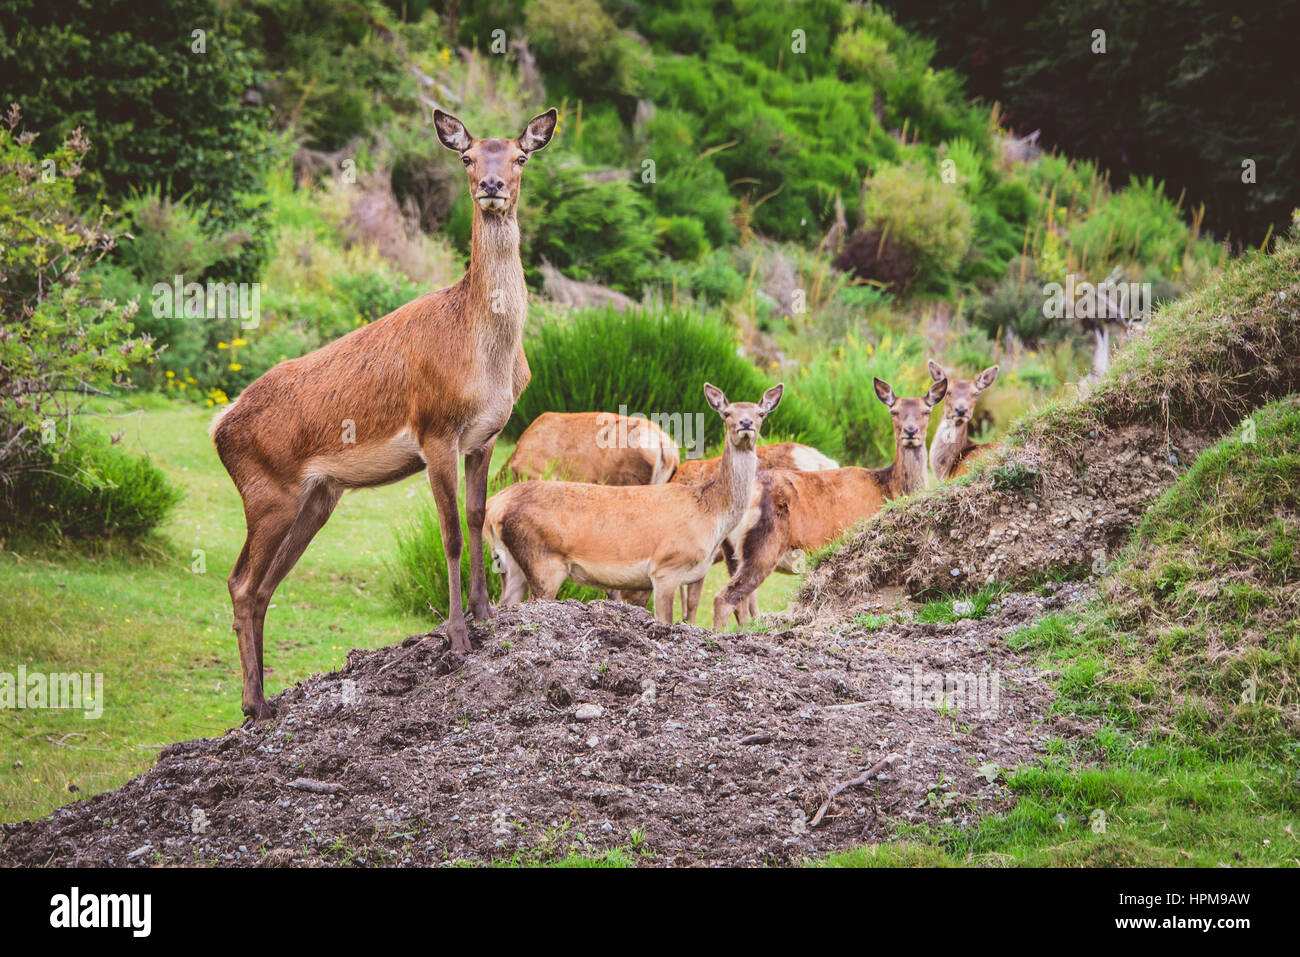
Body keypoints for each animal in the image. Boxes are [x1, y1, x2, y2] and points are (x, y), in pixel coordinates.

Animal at [209, 107, 557, 721]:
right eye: (467, 157)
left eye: (520, 156)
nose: (491, 186)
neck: (488, 360)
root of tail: (217, 427)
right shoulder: (436, 430)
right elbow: (449, 533)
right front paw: (457, 637)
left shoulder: (486, 436)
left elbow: (476, 517)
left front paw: (486, 615)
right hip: (266, 491)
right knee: (240, 581)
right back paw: (254, 704)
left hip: (316, 497)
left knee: (262, 584)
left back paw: (261, 701)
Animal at [709, 376, 945, 631]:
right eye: (894, 411)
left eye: (926, 411)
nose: (911, 432)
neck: (888, 488)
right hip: (764, 543)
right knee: (725, 598)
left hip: (733, 553)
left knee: (742, 603)